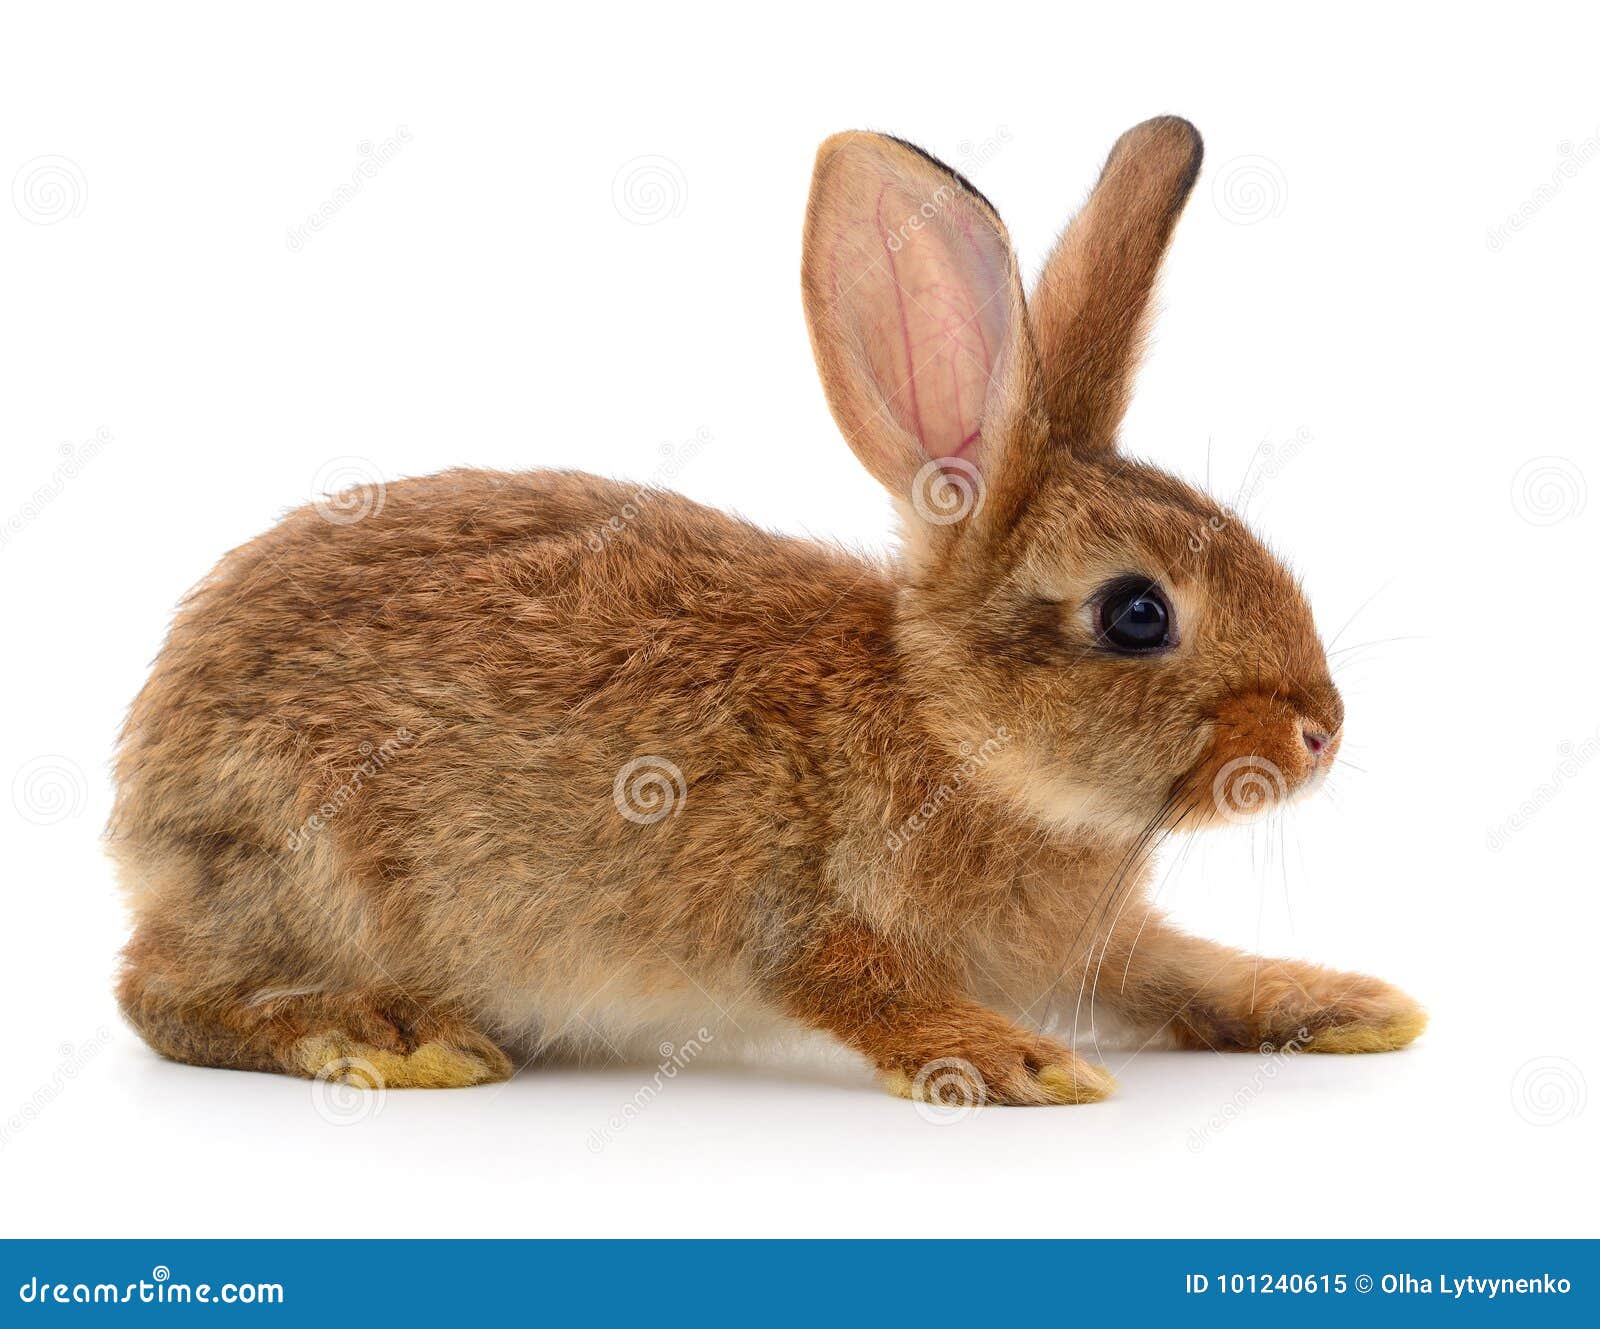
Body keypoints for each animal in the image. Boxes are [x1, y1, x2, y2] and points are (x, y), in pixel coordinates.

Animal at [110, 116, 1424, 1105]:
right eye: (1137, 613)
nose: (1319, 731)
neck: (958, 736)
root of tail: (141, 791)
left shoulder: (1094, 945)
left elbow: (1176, 975)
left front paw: (1345, 1003)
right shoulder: (799, 912)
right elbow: (859, 986)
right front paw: (1017, 1063)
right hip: (309, 865)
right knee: (157, 996)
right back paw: (390, 1033)